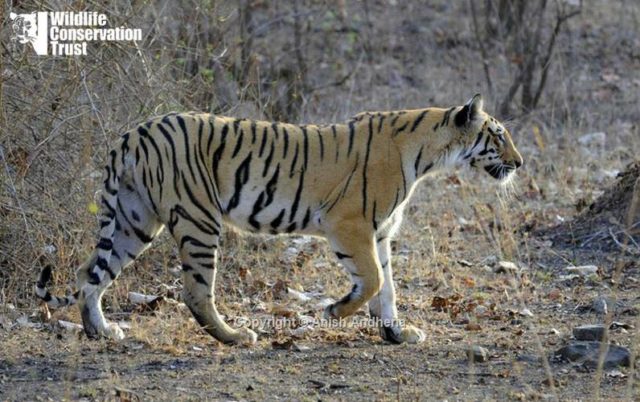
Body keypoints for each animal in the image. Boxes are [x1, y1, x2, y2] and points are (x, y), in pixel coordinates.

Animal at [36, 94, 522, 345]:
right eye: (498, 135)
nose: (519, 163)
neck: (428, 155)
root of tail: (132, 133)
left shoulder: (381, 233)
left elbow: (389, 289)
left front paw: (399, 334)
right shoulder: (350, 226)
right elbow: (373, 282)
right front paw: (333, 312)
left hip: (134, 221)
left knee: (90, 275)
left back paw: (101, 331)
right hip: (198, 220)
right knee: (195, 292)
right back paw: (236, 336)